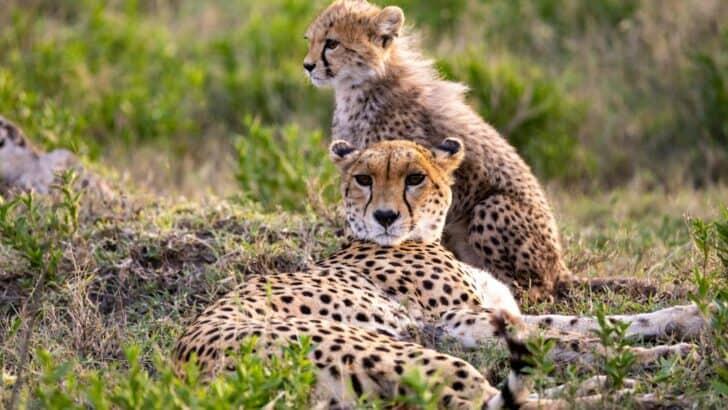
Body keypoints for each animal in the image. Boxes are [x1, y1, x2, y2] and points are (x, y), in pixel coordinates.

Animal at [174, 138, 704, 409]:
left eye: (415, 178)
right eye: (363, 179)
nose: (385, 216)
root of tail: (193, 370)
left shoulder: (493, 312)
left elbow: (595, 324)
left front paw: (694, 316)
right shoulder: (454, 324)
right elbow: (568, 339)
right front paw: (665, 354)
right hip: (402, 350)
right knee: (501, 402)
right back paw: (624, 392)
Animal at [302, 0, 668, 301]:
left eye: (332, 43)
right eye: (310, 40)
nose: (307, 65)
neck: (361, 87)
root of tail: (560, 267)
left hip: (491, 208)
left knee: (538, 289)